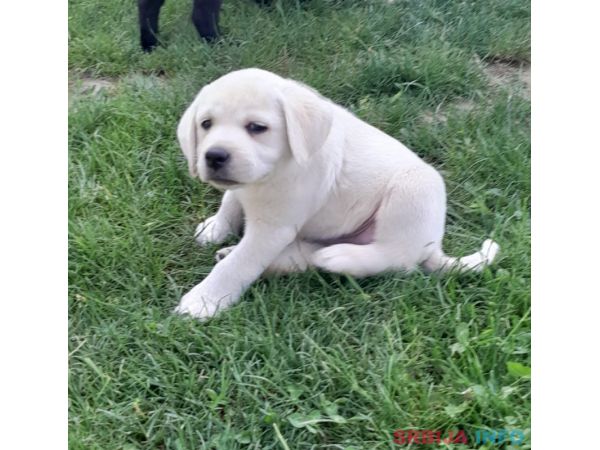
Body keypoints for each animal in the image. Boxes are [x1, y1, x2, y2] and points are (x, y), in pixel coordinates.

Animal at [175, 67, 502, 320]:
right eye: (206, 124)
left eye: (257, 127)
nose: (214, 156)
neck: (271, 174)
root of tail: (434, 246)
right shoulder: (245, 189)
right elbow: (230, 201)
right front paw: (217, 228)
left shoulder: (273, 228)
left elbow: (238, 265)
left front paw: (204, 300)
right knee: (307, 256)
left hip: (414, 190)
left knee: (399, 258)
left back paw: (339, 257)